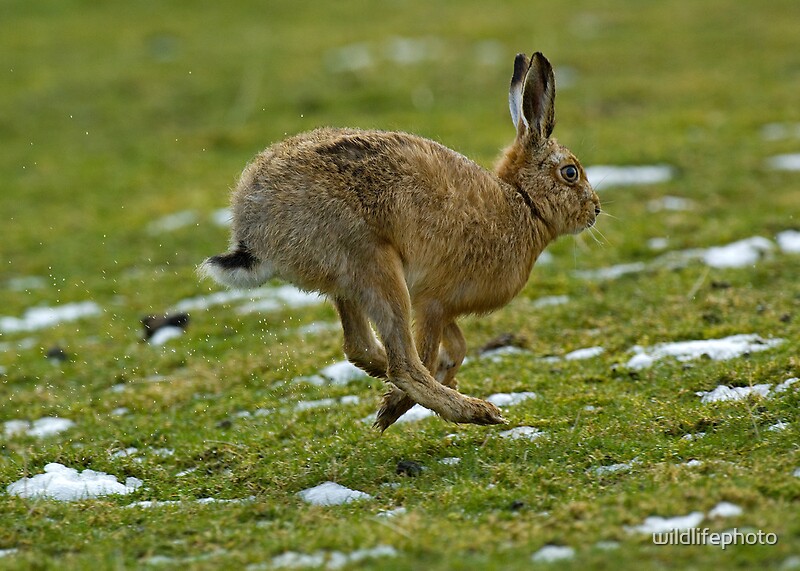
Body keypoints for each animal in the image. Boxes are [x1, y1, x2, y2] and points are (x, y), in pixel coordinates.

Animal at [200, 52, 600, 431]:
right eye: (570, 173)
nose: (595, 210)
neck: (523, 202)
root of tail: (254, 232)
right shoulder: (434, 302)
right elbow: (432, 351)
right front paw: (405, 401)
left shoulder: (438, 304)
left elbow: (457, 347)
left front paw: (427, 384)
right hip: (375, 266)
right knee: (403, 363)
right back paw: (472, 410)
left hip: (349, 282)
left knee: (359, 347)